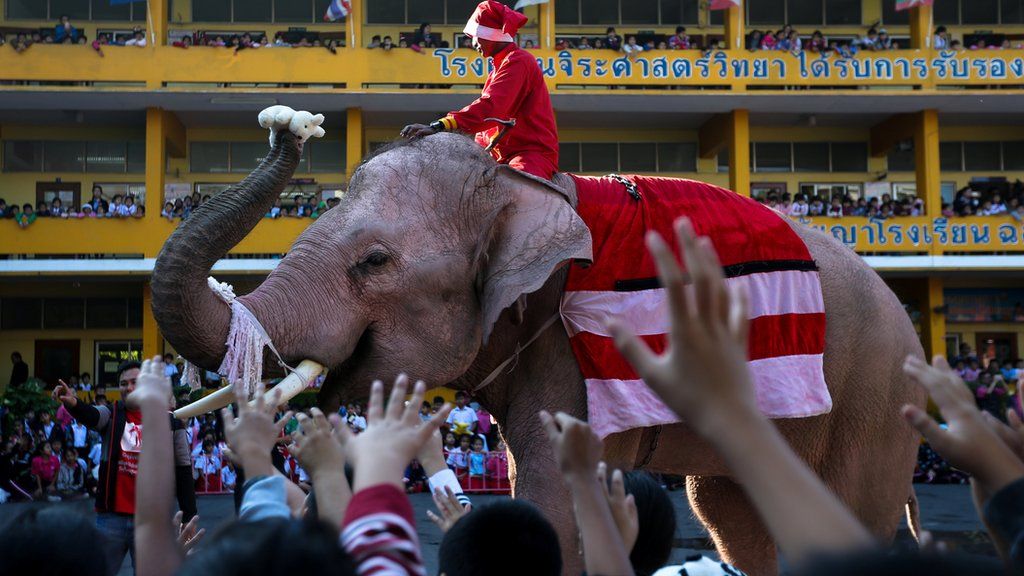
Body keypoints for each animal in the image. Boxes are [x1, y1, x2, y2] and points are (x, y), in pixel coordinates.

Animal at [151, 124, 926, 575]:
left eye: (373, 262)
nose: (289, 125)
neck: (519, 185)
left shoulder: (573, 344)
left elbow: (557, 492)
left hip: (876, 394)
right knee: (731, 514)